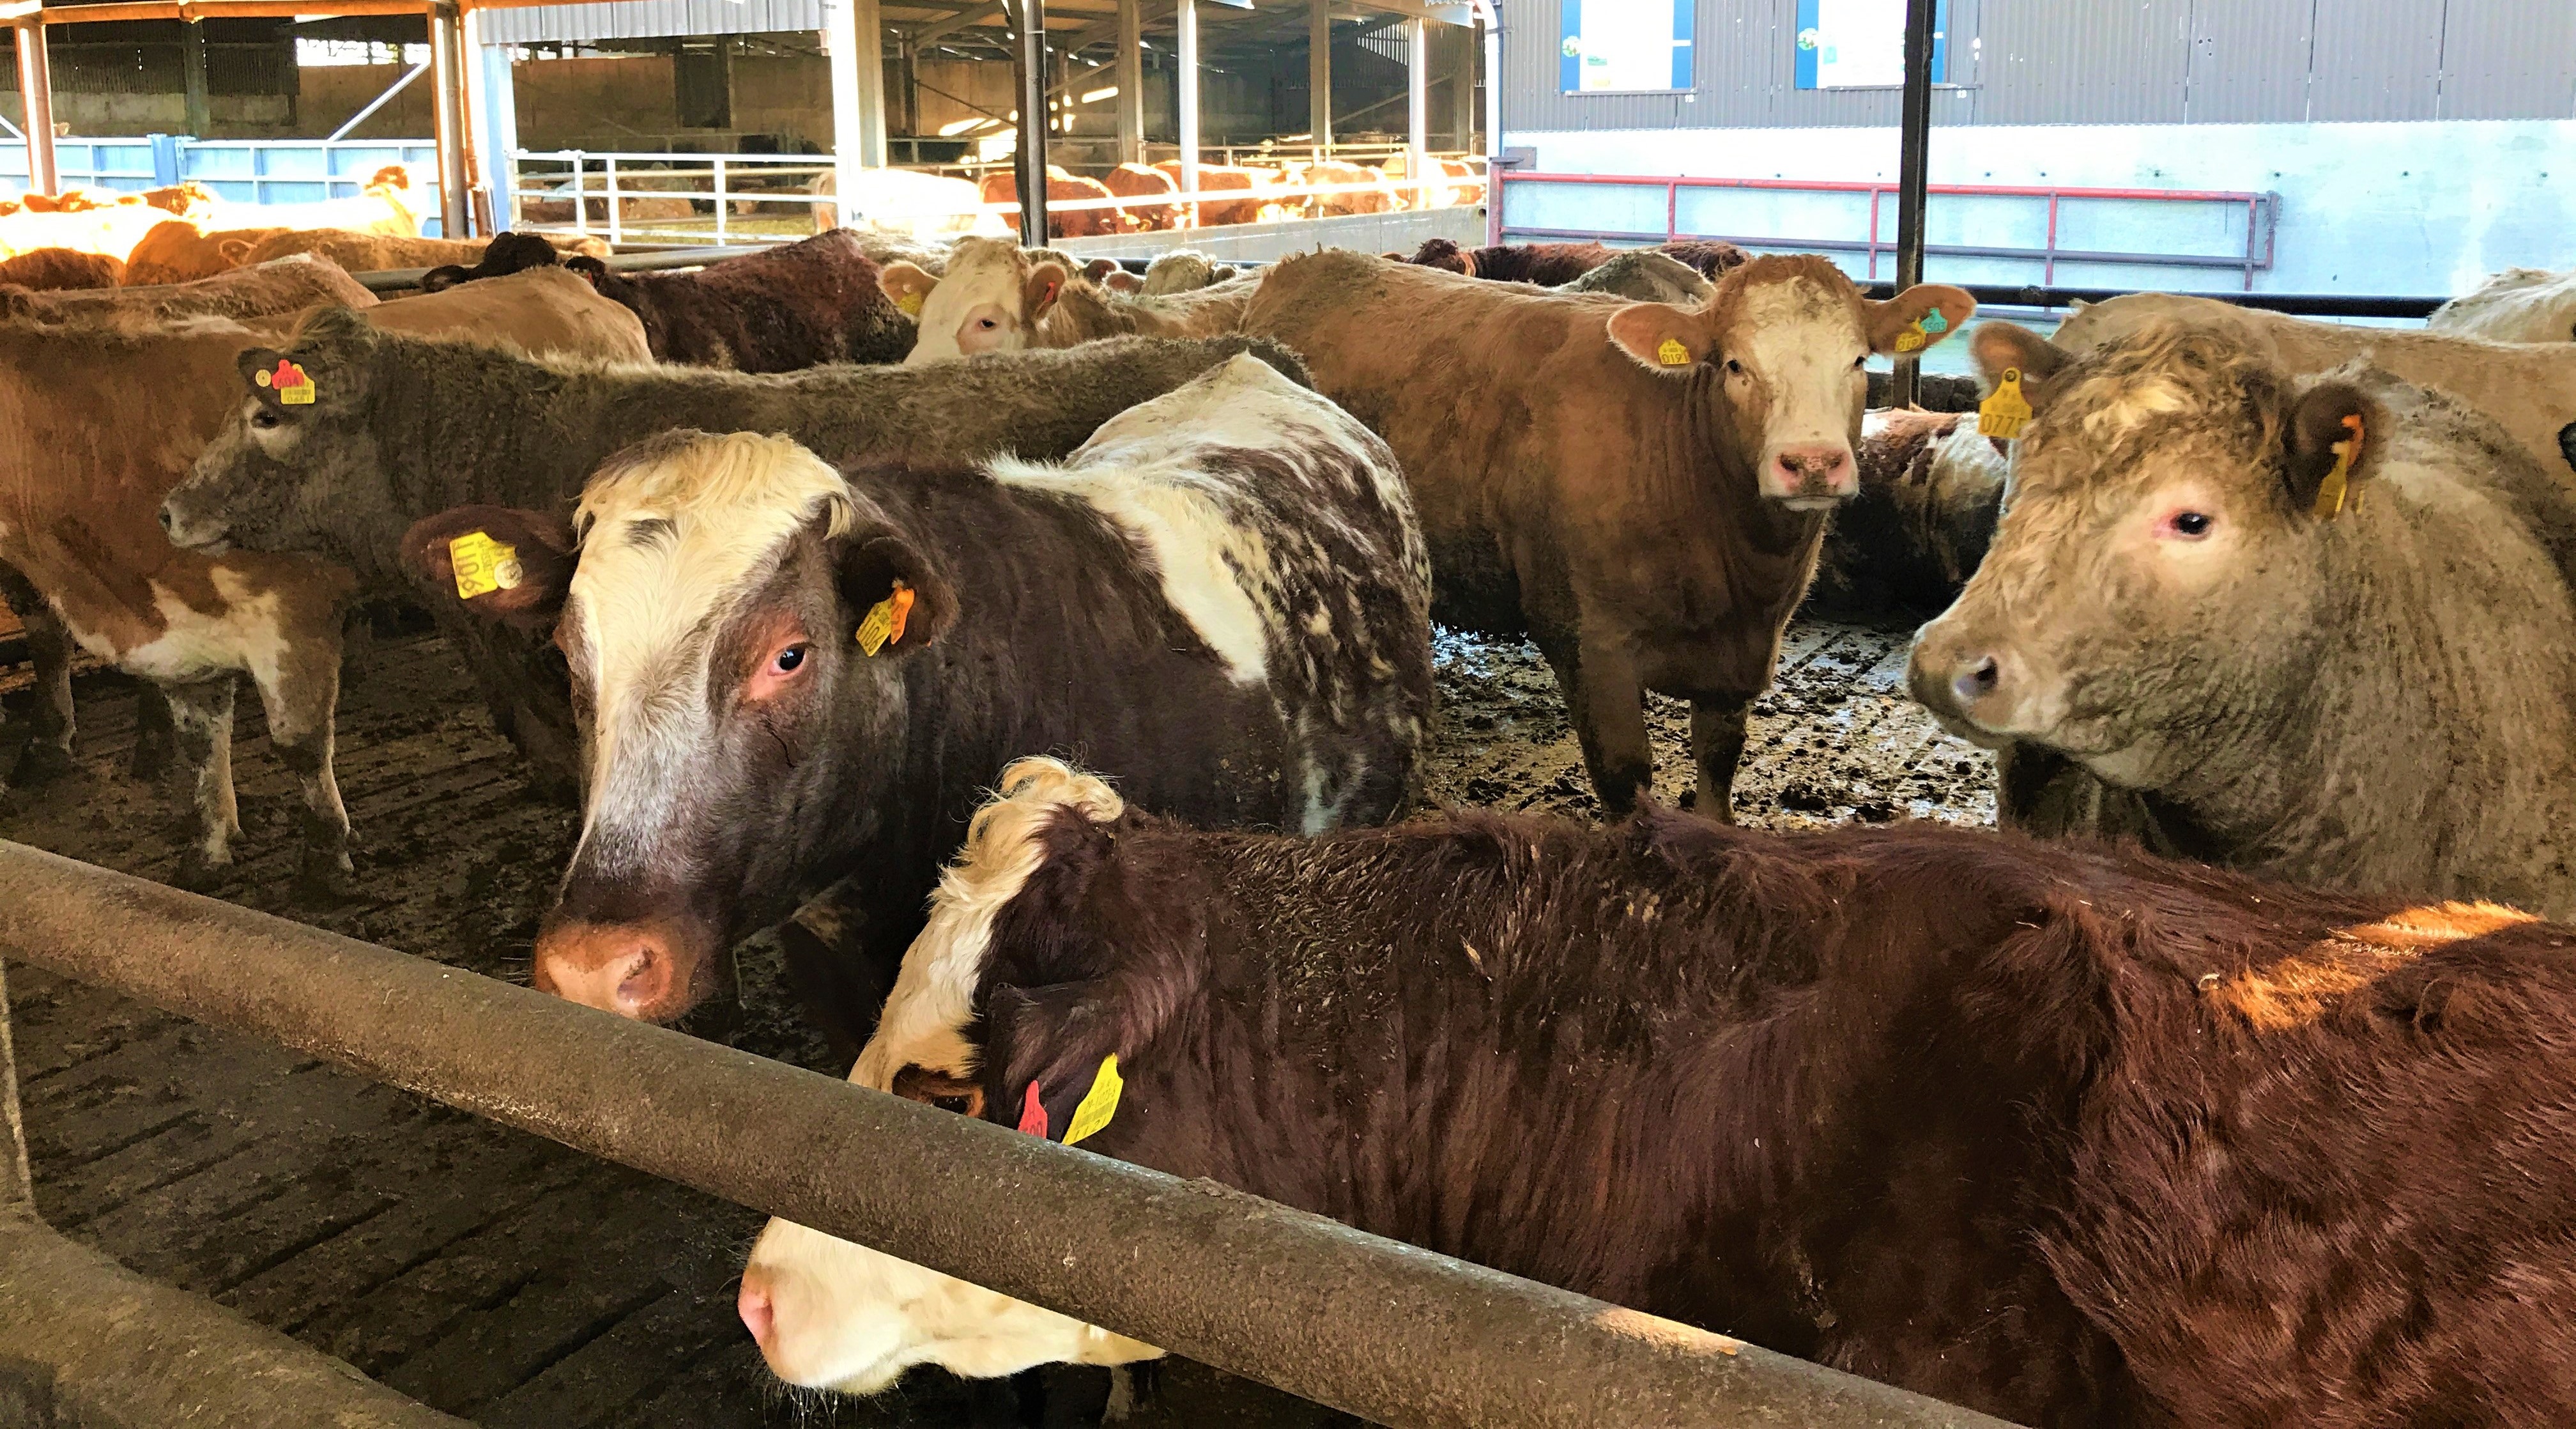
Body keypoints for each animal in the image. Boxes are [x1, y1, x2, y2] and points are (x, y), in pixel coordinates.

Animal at [0, 266, 643, 891]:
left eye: (268, 418)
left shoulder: (292, 612)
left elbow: (300, 744)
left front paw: (325, 855)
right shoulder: (179, 637)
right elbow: (201, 743)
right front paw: (208, 849)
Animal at [1244, 248, 1974, 815]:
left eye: (1857, 361)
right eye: (1734, 364)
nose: (1814, 462)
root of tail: (1304, 265)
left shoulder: (1736, 661)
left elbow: (1717, 771)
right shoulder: (1588, 644)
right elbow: (1626, 782)